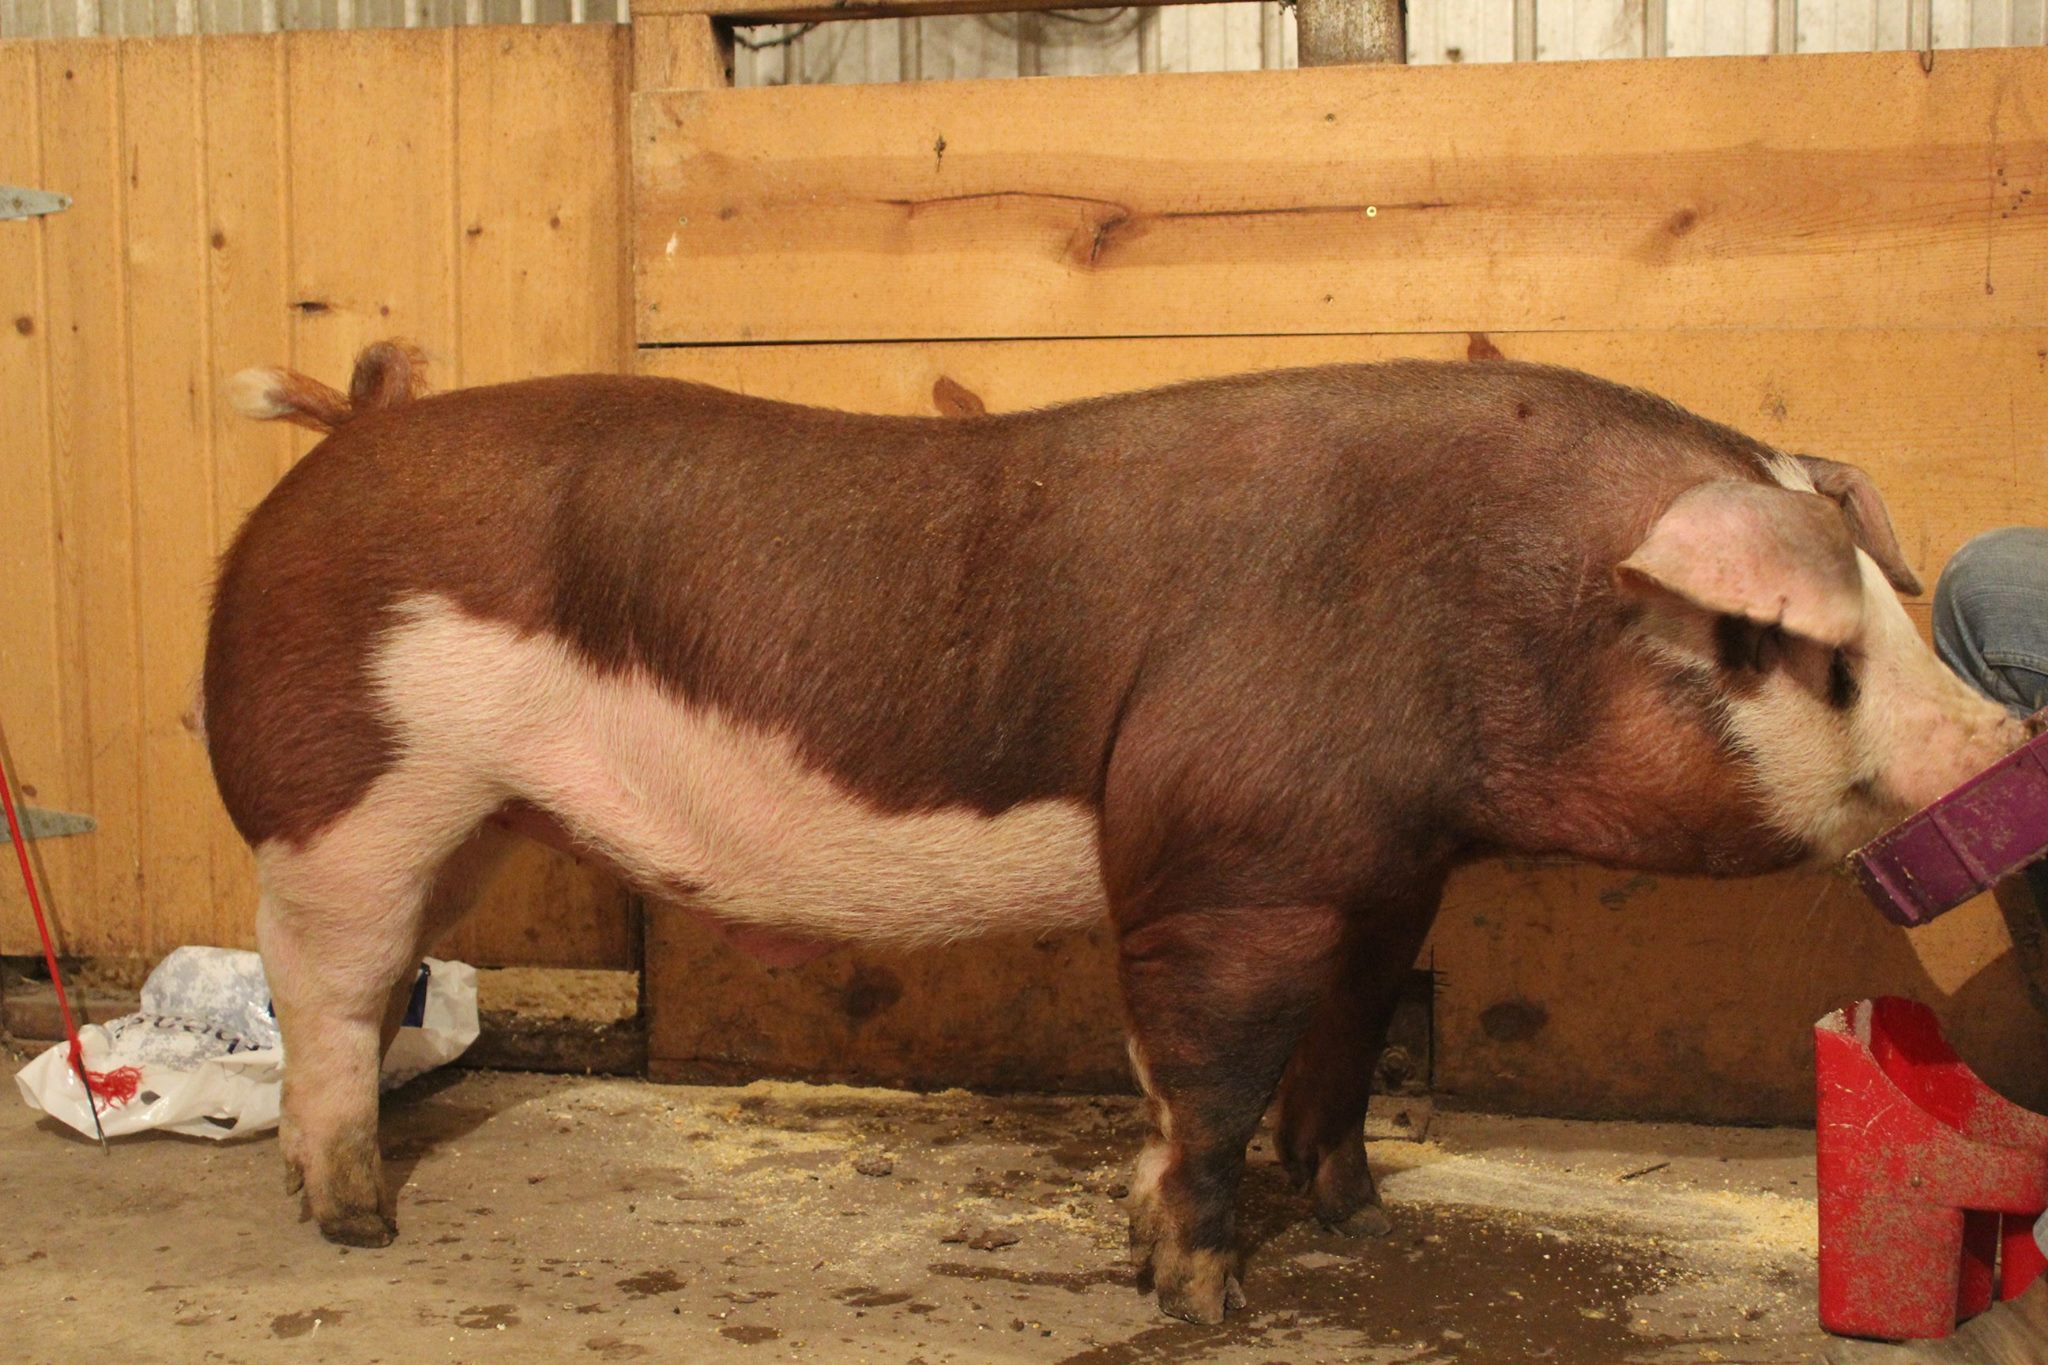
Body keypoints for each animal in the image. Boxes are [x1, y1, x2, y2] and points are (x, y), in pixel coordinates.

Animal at [202, 343, 2026, 1323]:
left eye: (1883, 599)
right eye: (1784, 645)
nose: (2000, 733)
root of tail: (339, 445)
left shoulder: (1387, 873)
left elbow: (1339, 1051)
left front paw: (1353, 1213)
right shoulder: (1225, 861)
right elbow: (1206, 1076)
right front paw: (1203, 1293)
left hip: (461, 822)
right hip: (352, 798)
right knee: (328, 995)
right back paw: (354, 1218)